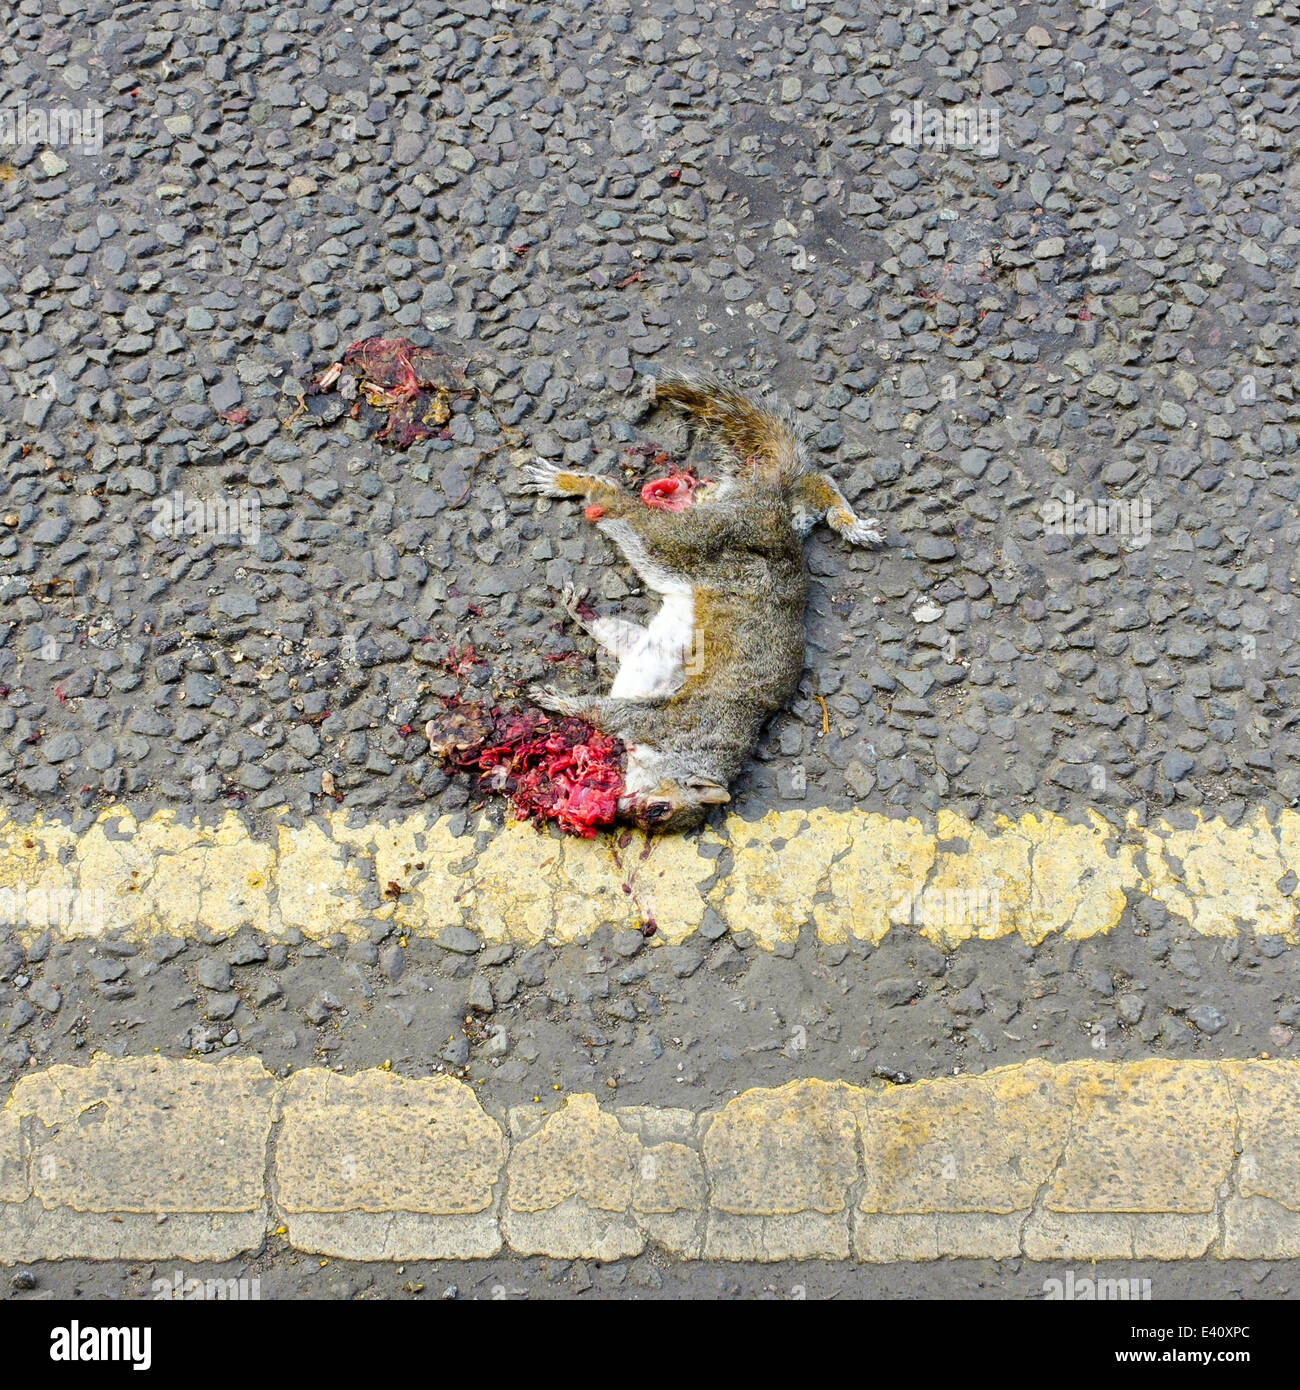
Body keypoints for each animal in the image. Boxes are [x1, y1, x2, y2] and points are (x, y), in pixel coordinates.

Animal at [514, 370, 883, 832]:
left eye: (657, 813)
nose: (620, 813)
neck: (699, 746)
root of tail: (765, 505)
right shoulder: (673, 721)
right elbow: (603, 710)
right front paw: (557, 699)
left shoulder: (646, 668)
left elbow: (612, 636)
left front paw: (576, 615)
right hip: (685, 542)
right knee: (613, 496)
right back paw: (568, 482)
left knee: (817, 487)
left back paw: (849, 521)